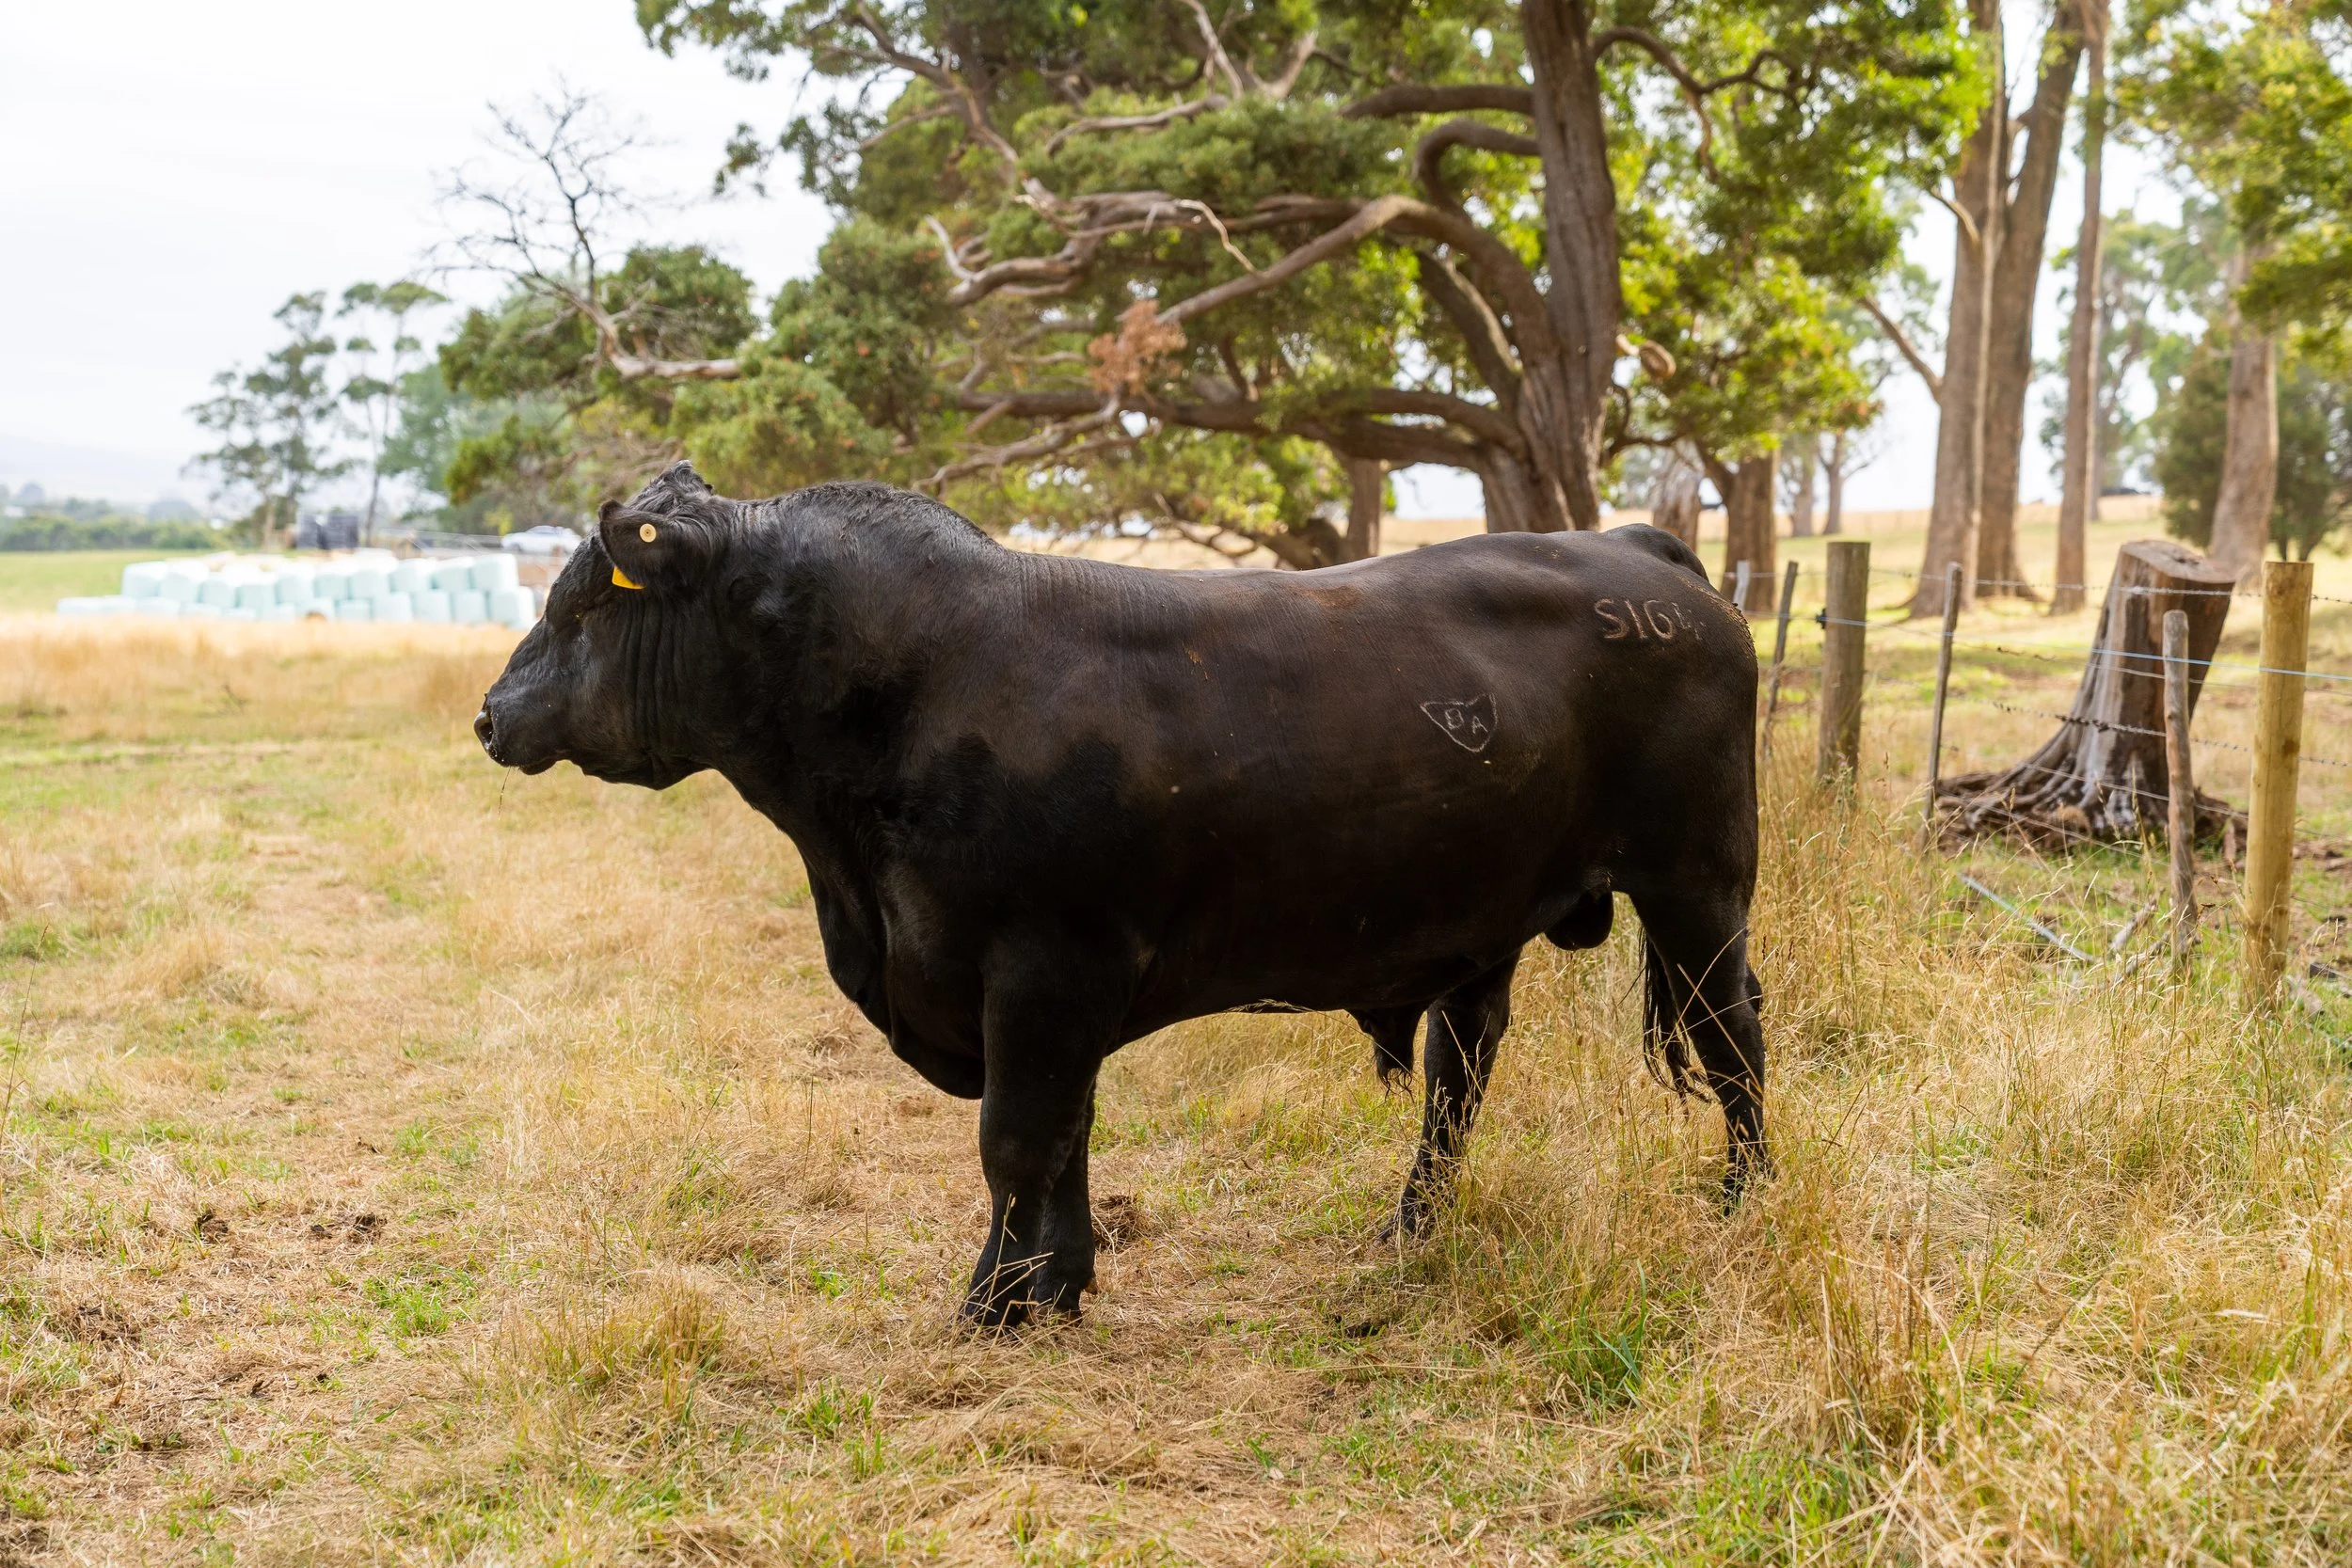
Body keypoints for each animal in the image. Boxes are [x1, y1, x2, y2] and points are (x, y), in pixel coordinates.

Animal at [475, 463, 1767, 1327]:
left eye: (586, 603)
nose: (492, 714)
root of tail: (1637, 548)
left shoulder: (1044, 967)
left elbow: (1015, 1138)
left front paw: (993, 1301)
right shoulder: (1049, 991)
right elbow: (1067, 1135)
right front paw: (1056, 1283)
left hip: (1699, 883)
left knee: (1732, 1035)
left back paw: (1740, 1197)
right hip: (1484, 917)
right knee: (1460, 1071)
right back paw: (1408, 1228)